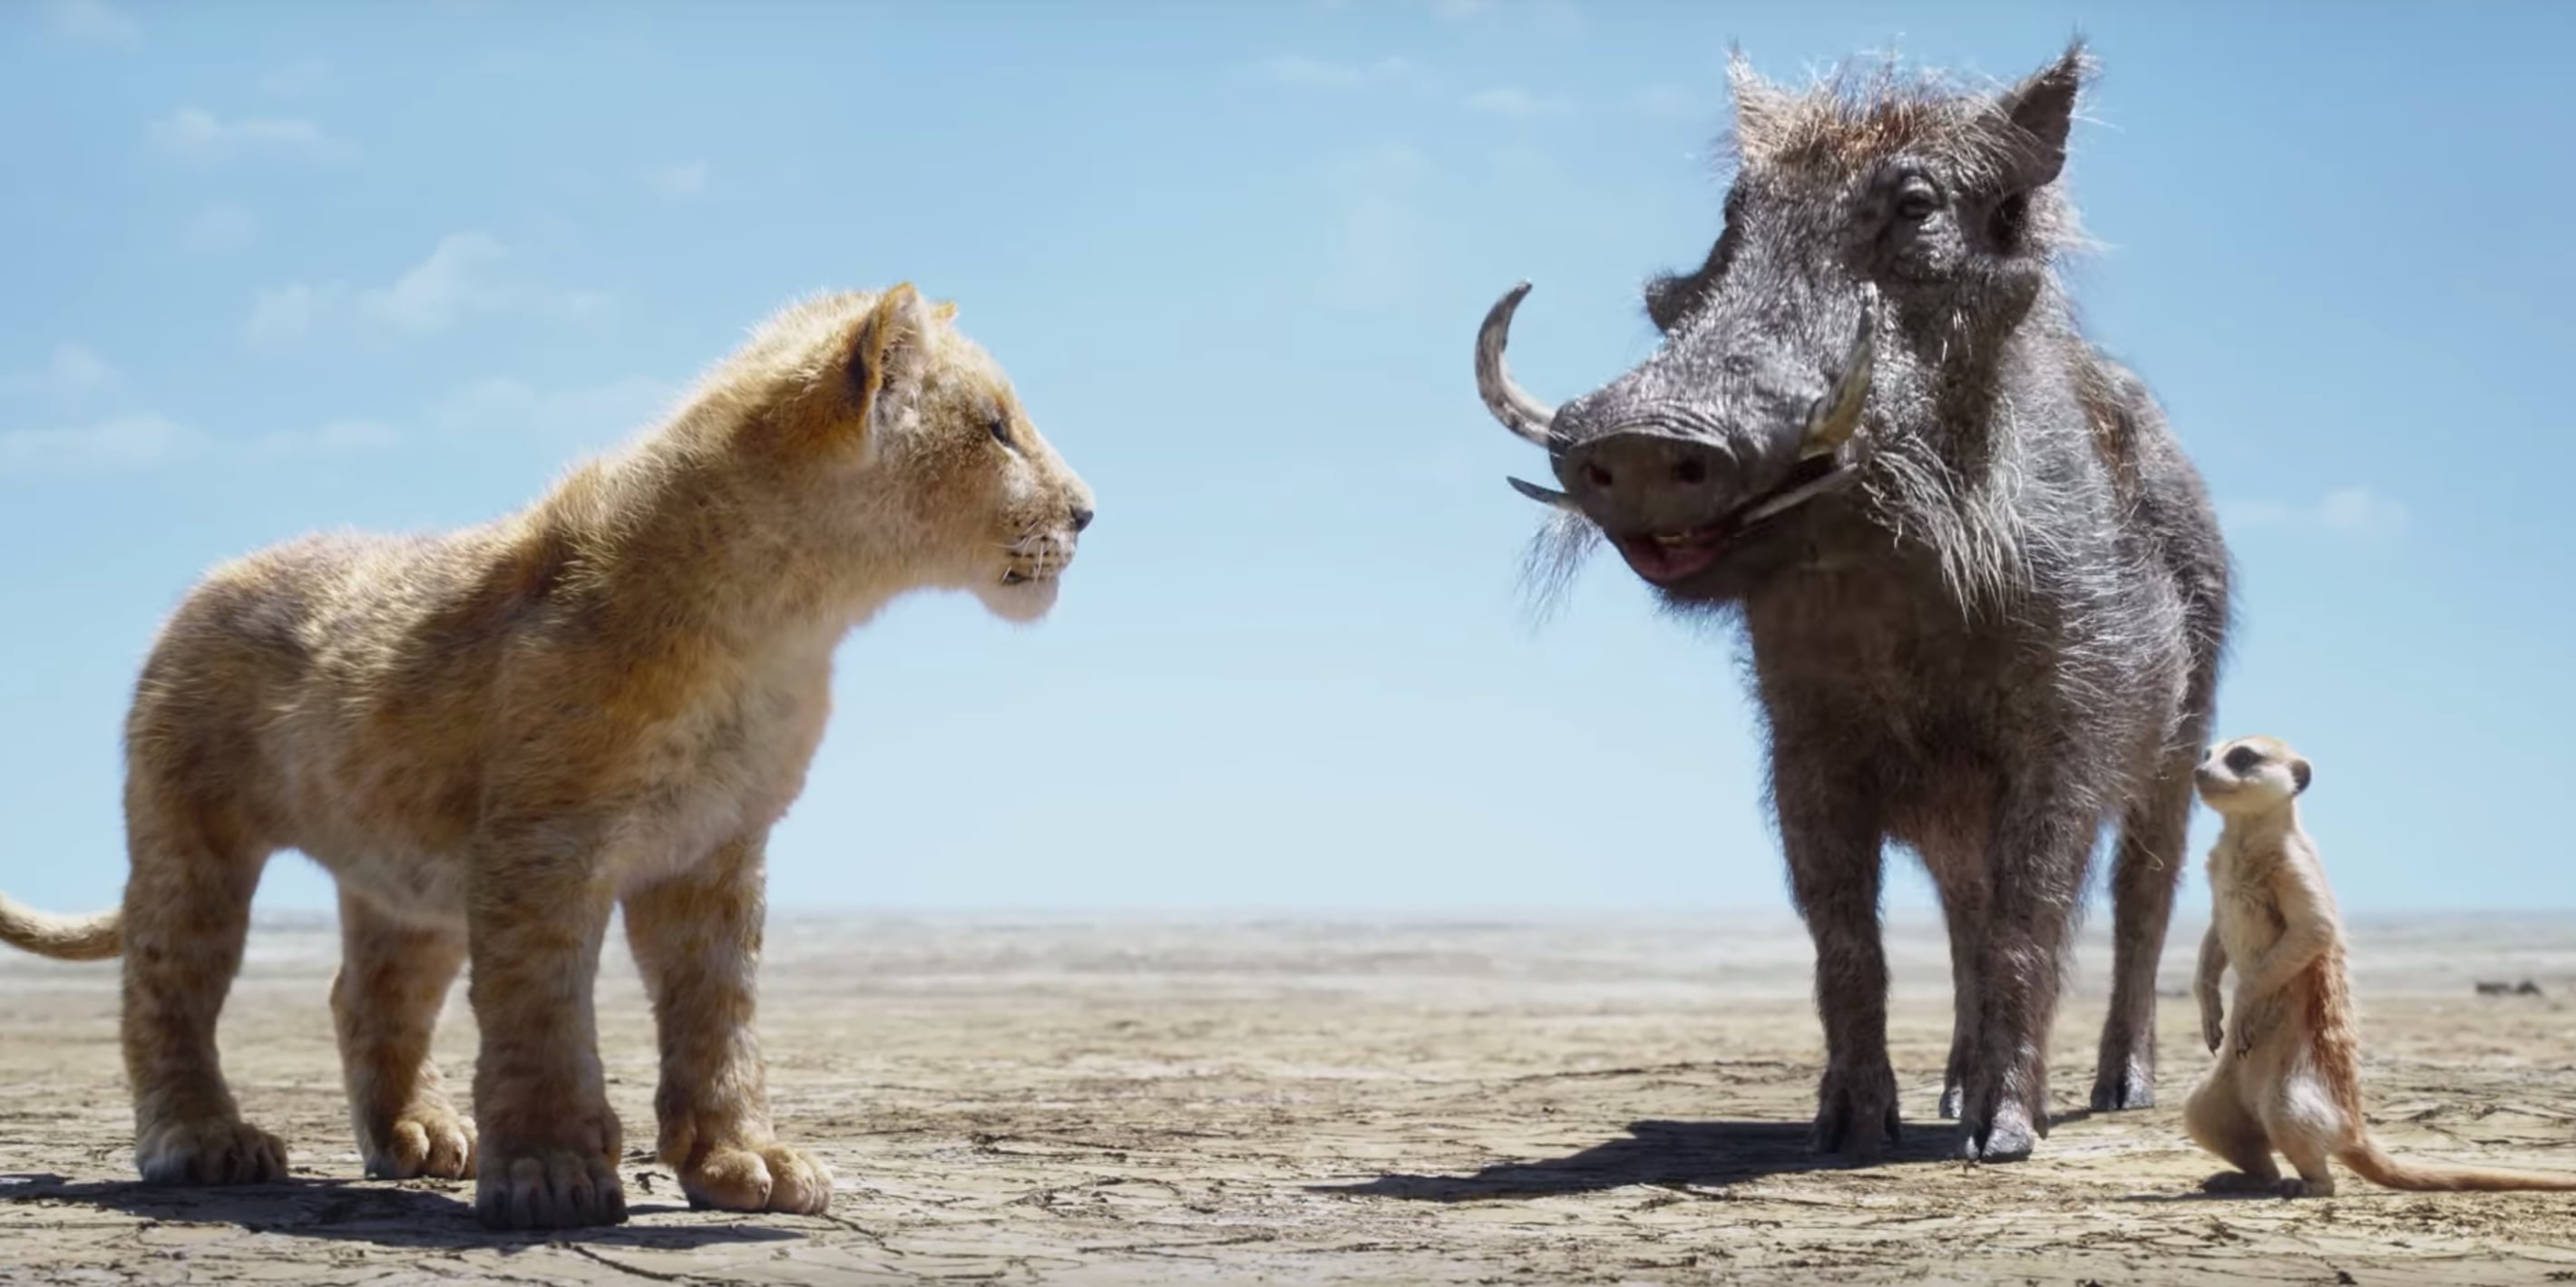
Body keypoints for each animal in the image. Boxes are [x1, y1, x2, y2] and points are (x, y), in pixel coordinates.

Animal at [0, 283, 1095, 1230]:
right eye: (998, 428)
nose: (1087, 510)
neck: (783, 620)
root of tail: (200, 588)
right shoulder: (545, 840)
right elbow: (543, 1012)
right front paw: (551, 1172)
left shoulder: (716, 849)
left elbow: (721, 1015)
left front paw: (745, 1161)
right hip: (194, 836)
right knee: (165, 981)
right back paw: (204, 1140)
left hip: (406, 879)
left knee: (369, 993)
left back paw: (419, 1135)